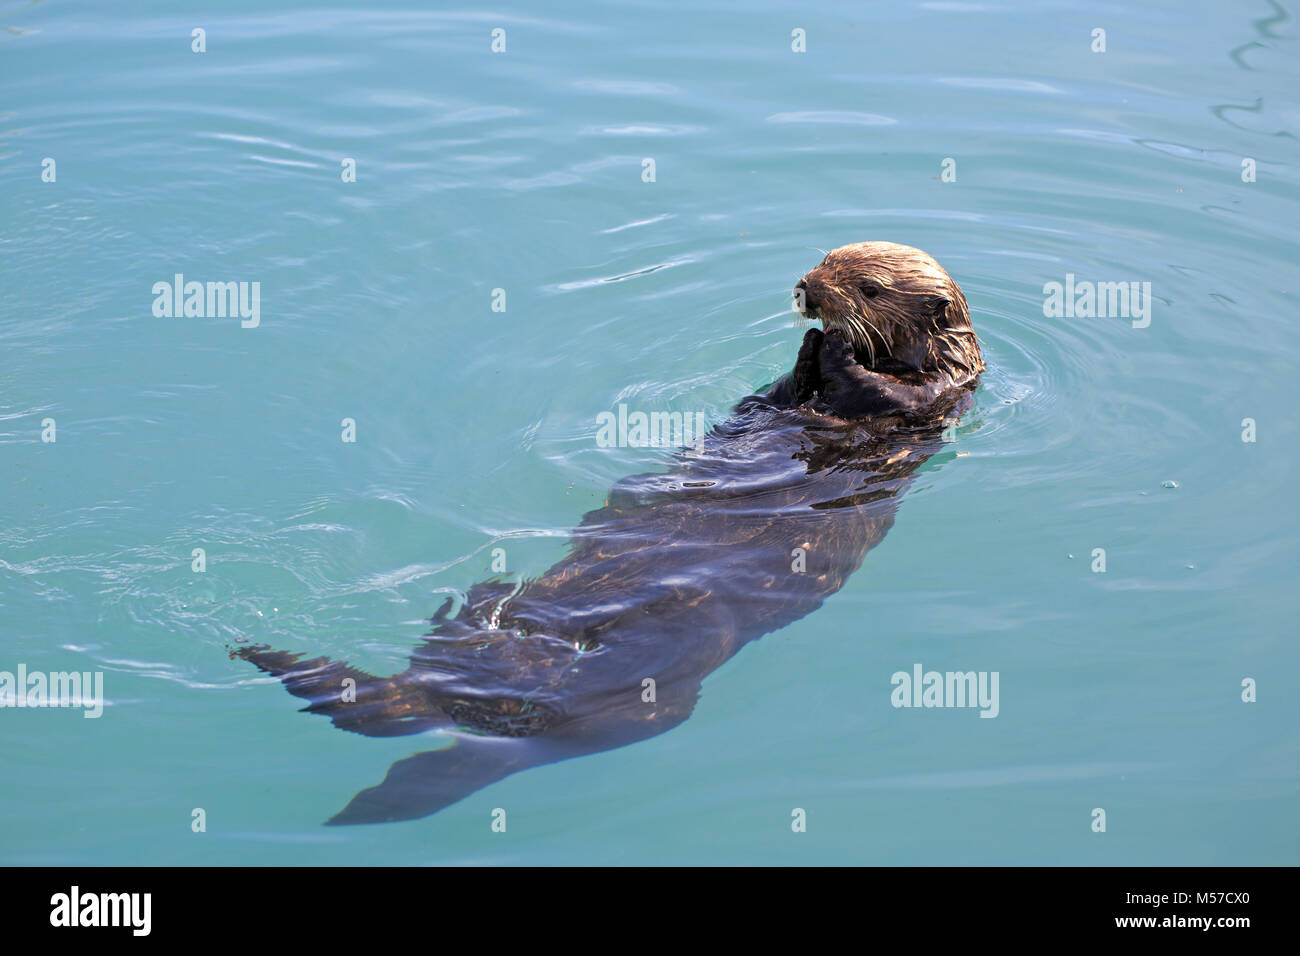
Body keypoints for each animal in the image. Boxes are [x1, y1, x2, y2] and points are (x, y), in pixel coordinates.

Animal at [236, 242, 984, 824]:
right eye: (828, 257)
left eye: (869, 287)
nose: (806, 288)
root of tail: (468, 700)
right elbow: (780, 393)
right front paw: (811, 349)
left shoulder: (937, 396)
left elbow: (890, 395)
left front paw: (839, 349)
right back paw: (468, 608)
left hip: (647, 690)